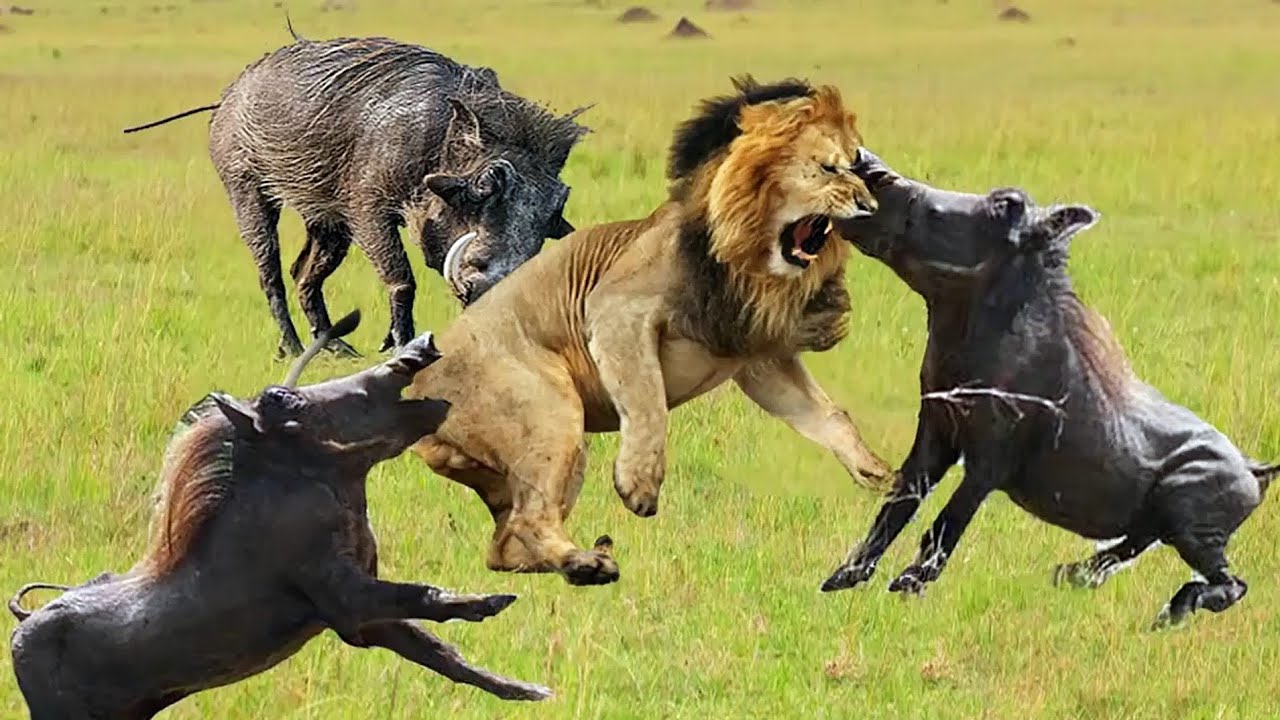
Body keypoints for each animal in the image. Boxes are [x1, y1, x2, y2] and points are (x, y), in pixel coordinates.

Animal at [406, 76, 893, 586]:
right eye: (827, 168)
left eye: (859, 167)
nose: (870, 206)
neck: (749, 265)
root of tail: (416, 387)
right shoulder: (615, 308)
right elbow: (647, 400)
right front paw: (639, 485)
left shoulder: (758, 358)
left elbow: (828, 416)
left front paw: (882, 476)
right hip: (551, 414)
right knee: (528, 521)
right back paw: (588, 563)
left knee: (503, 546)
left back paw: (588, 560)